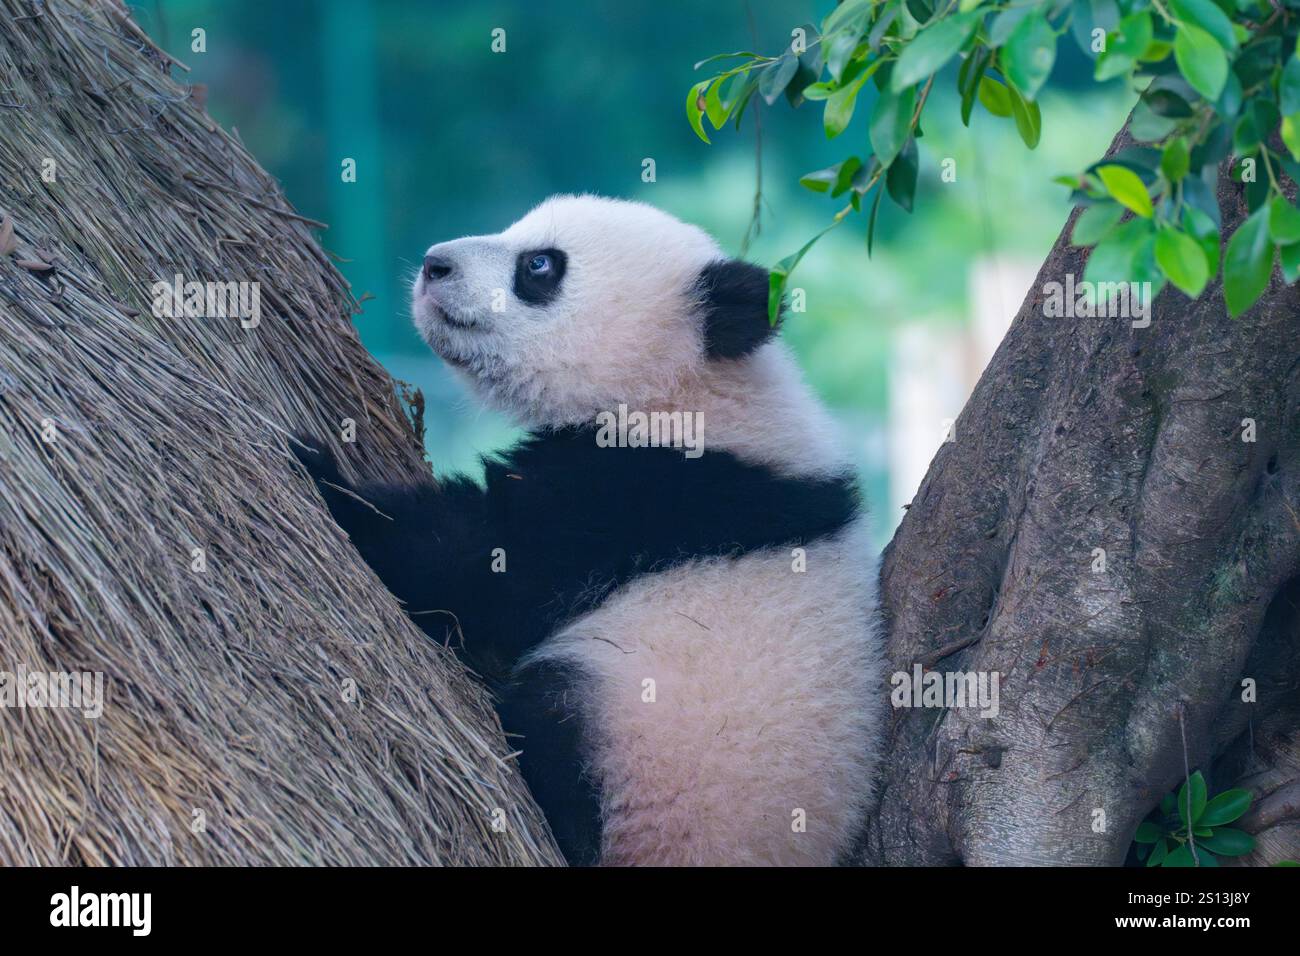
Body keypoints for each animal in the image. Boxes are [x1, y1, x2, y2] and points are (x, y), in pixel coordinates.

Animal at [296, 195, 883, 866]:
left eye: (540, 266)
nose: (434, 264)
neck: (696, 388)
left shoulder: (648, 493)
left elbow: (485, 565)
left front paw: (327, 480)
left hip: (639, 751)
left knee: (558, 720)